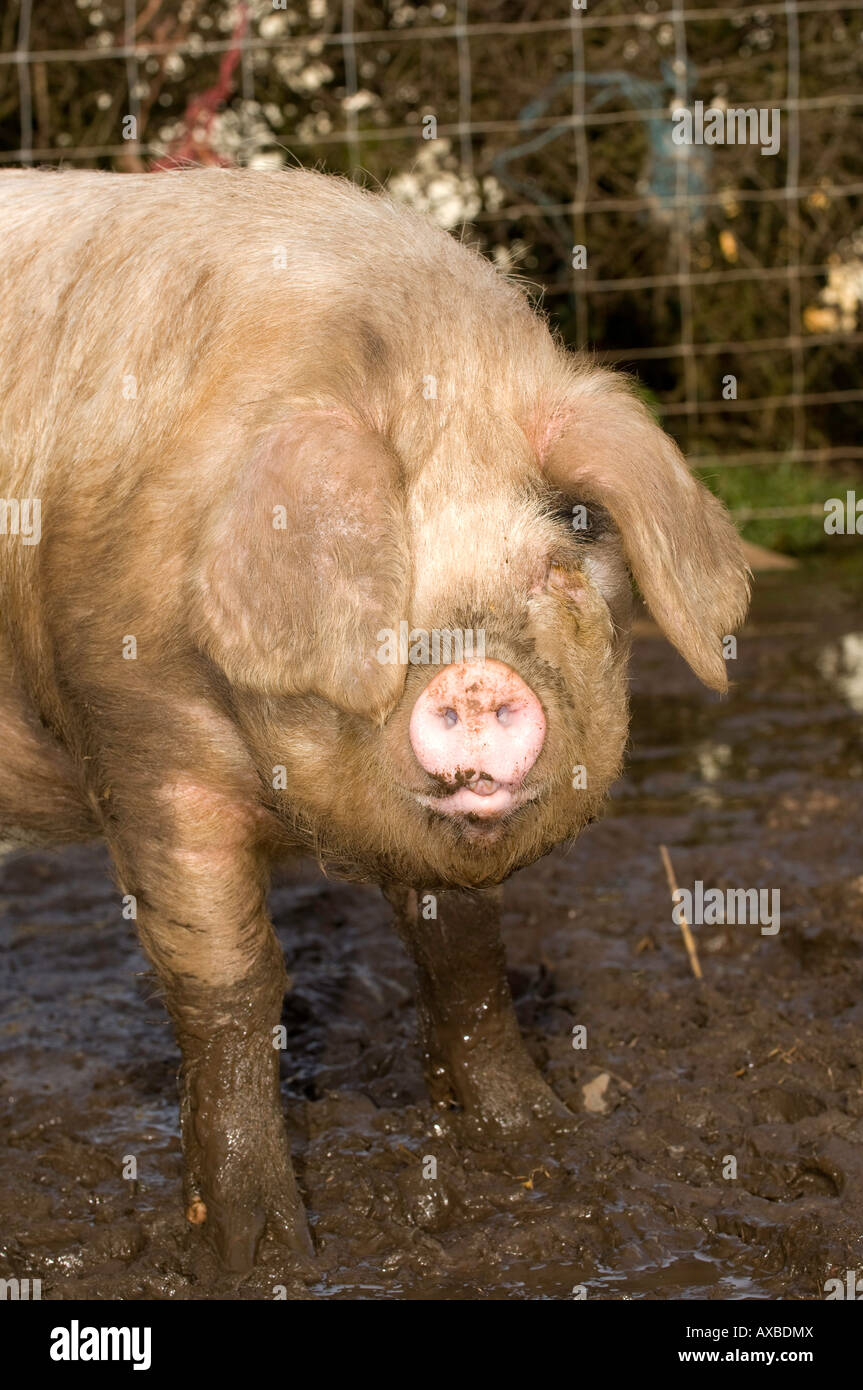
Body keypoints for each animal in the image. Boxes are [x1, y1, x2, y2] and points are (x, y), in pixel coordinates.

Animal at [0, 168, 750, 1271]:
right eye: (377, 573)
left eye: (563, 549)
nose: (475, 678)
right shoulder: (139, 735)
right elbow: (231, 988)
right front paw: (265, 1258)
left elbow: (464, 956)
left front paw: (542, 1138)